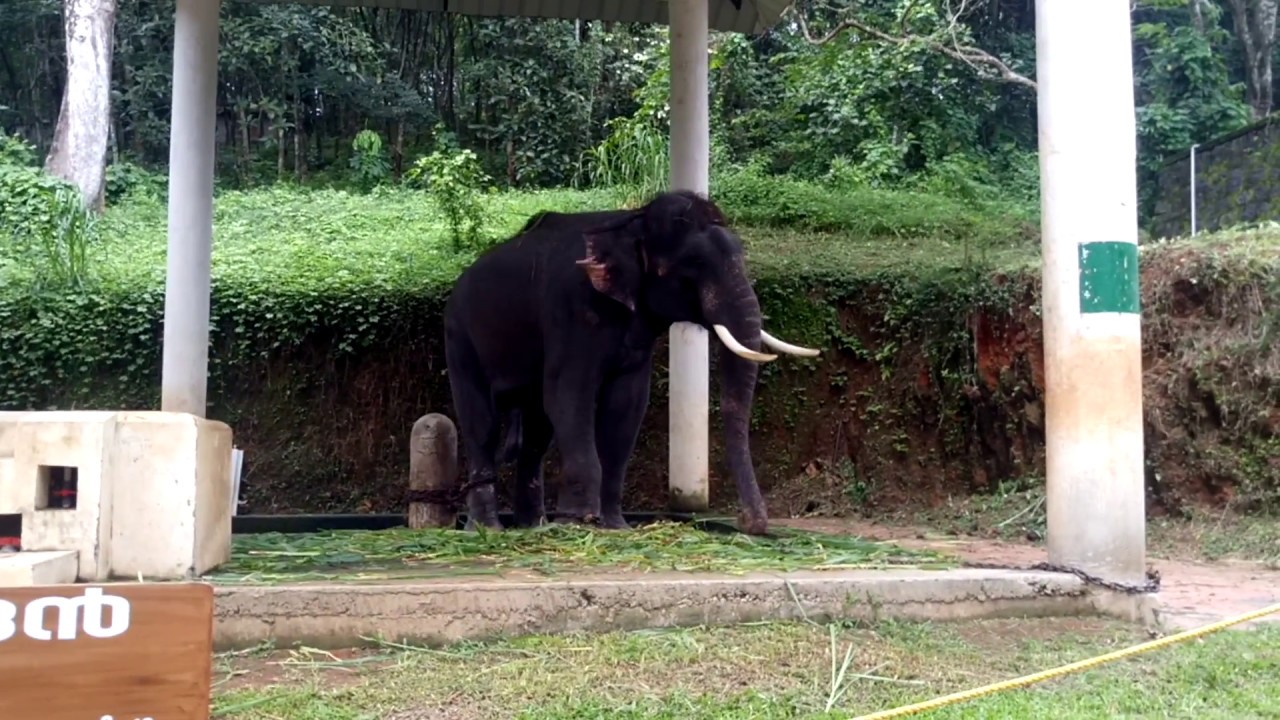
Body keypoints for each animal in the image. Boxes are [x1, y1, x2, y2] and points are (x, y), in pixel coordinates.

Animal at [442, 190, 820, 535]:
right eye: (694, 266)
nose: (747, 523)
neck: (631, 221)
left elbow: (627, 403)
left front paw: (614, 526)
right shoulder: (570, 310)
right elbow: (569, 396)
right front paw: (580, 523)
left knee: (537, 431)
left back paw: (534, 526)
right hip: (459, 337)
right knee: (483, 424)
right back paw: (488, 529)